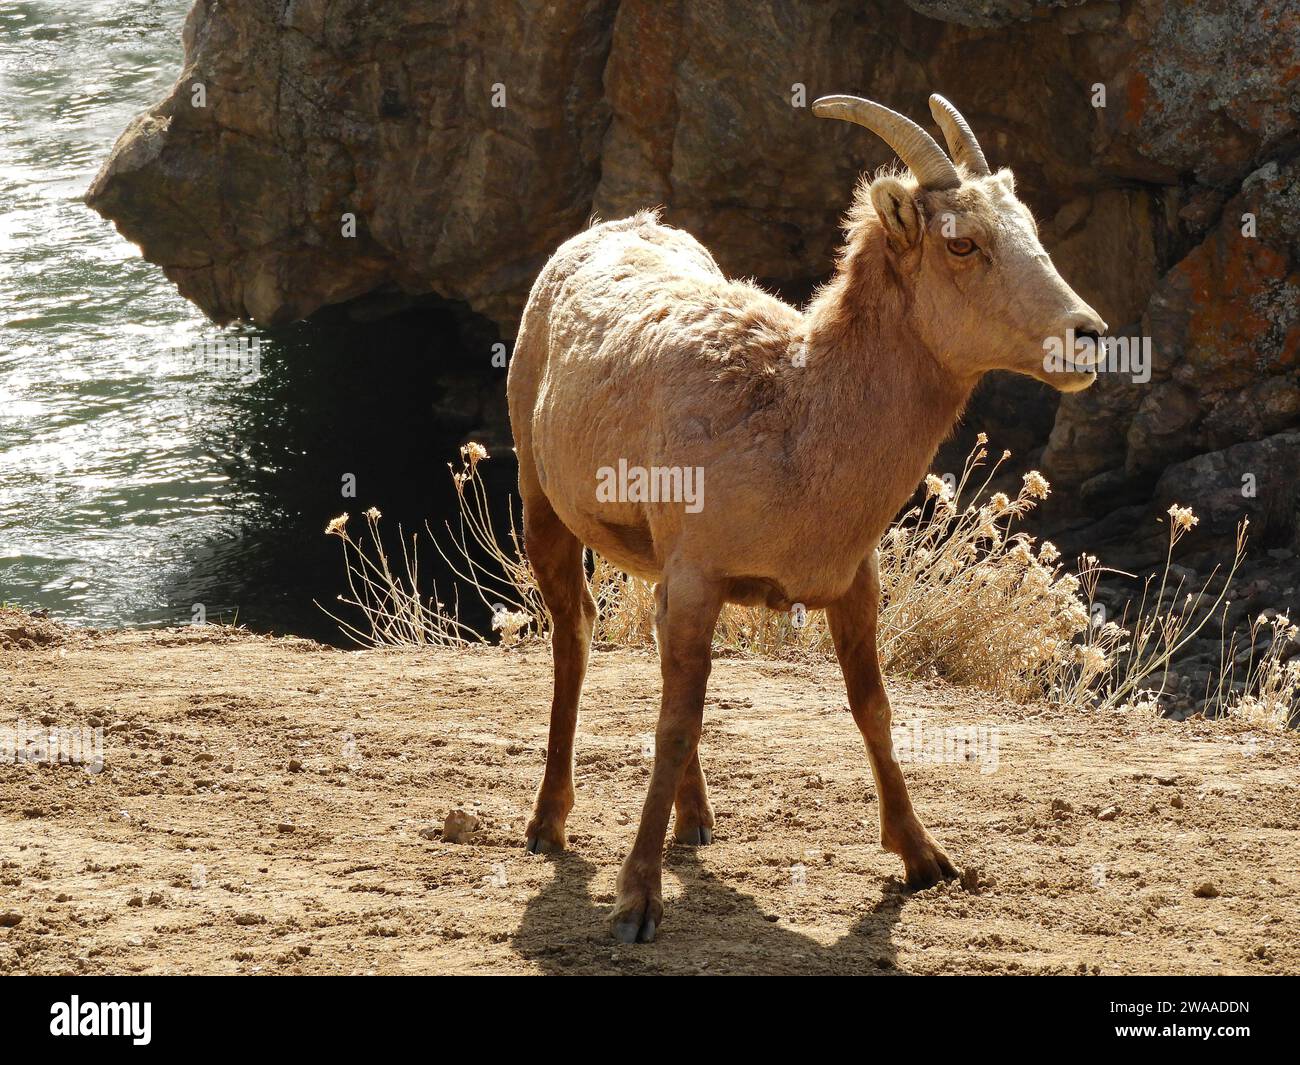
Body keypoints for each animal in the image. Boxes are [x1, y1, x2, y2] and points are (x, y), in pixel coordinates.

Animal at [506, 94, 1107, 944]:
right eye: (962, 242)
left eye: (1029, 227)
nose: (1087, 337)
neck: (797, 416)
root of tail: (611, 228)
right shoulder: (698, 578)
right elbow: (673, 722)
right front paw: (636, 902)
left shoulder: (849, 583)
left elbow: (871, 709)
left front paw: (925, 857)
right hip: (544, 506)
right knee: (574, 636)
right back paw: (547, 824)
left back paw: (698, 821)